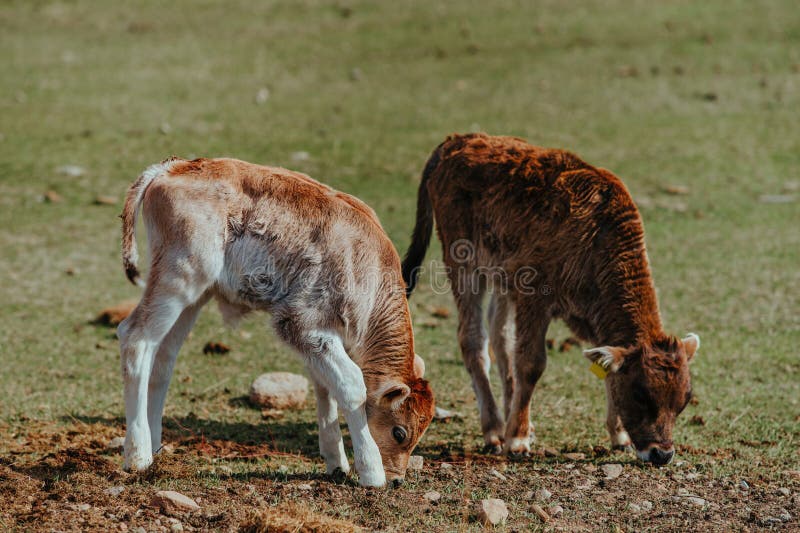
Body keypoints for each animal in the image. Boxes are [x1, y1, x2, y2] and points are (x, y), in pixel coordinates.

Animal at [117, 156, 434, 487]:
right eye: (400, 432)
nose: (397, 479)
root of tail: (173, 167)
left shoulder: (318, 341)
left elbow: (325, 389)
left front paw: (336, 463)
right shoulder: (304, 323)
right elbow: (351, 388)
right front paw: (372, 472)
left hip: (193, 299)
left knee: (163, 358)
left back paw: (155, 447)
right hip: (178, 279)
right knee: (136, 339)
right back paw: (138, 456)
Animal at [401, 133, 699, 465]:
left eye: (685, 399)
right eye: (640, 393)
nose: (662, 453)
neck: (596, 234)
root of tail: (455, 141)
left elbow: (603, 370)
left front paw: (618, 436)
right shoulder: (534, 300)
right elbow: (531, 363)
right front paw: (517, 441)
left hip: (502, 279)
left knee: (500, 338)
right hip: (465, 267)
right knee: (473, 341)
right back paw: (495, 432)